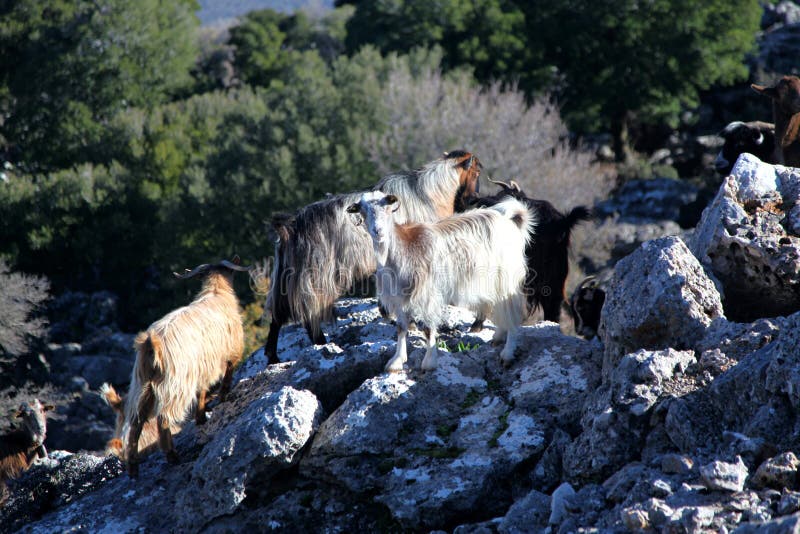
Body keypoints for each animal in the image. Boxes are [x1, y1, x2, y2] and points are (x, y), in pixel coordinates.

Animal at [122, 257, 250, 477]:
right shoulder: (229, 355)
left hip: (142, 385)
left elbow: (201, 392)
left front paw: (200, 417)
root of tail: (151, 344)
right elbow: (224, 377)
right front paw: (219, 400)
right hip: (175, 384)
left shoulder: (203, 369)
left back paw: (133, 468)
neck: (216, 292)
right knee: (163, 418)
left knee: (137, 422)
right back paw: (172, 456)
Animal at [263, 150, 482, 364]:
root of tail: (289, 227)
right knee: (310, 311)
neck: (428, 194)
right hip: (316, 274)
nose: (474, 198)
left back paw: (273, 356)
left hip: (286, 274)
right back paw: (321, 343)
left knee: (278, 313)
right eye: (476, 172)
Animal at [346, 191, 534, 372]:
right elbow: (401, 328)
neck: (400, 251)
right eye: (362, 210)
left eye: (386, 206)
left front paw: (429, 362)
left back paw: (507, 353)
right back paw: (498, 337)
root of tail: (511, 221)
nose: (378, 231)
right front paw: (397, 361)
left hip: (506, 277)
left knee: (511, 309)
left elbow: (428, 329)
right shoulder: (398, 297)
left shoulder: (427, 294)